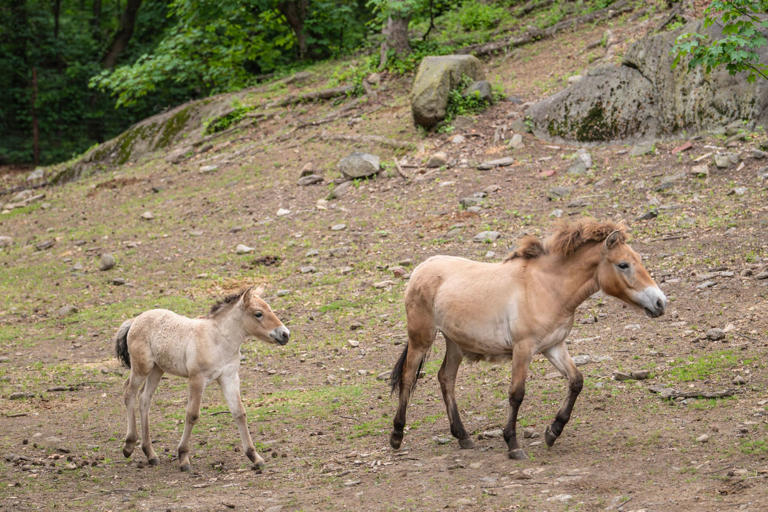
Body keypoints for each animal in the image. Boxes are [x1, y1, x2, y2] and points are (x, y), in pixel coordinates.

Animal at [114, 286, 290, 471]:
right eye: (258, 314)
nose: (285, 334)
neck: (218, 340)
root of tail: (135, 320)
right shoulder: (197, 379)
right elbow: (192, 415)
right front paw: (183, 457)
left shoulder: (229, 377)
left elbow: (239, 413)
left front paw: (254, 457)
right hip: (142, 368)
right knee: (129, 393)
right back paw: (129, 445)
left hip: (157, 369)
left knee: (144, 399)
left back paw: (150, 454)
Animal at [388, 219, 666, 459]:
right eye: (623, 265)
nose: (660, 302)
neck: (546, 288)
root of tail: (421, 268)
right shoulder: (523, 349)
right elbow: (517, 394)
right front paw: (513, 444)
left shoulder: (554, 346)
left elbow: (576, 381)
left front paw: (553, 432)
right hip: (422, 338)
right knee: (408, 376)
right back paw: (397, 435)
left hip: (455, 342)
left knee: (446, 378)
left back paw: (463, 436)